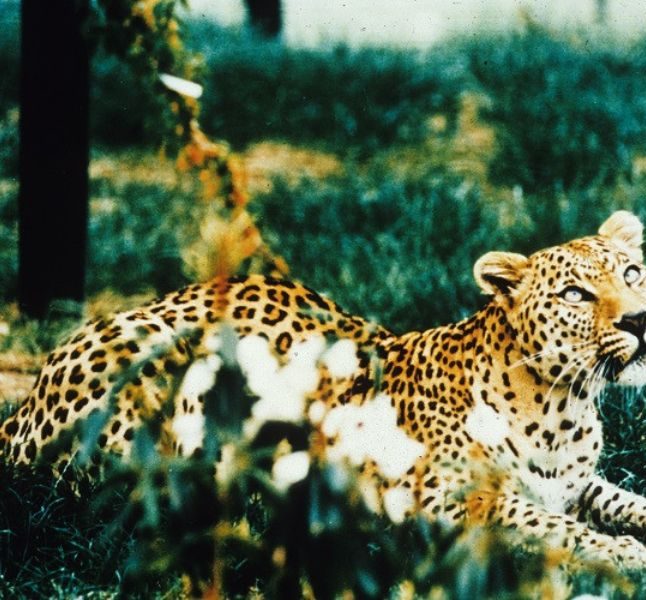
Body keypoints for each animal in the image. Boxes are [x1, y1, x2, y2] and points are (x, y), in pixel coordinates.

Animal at [1, 210, 646, 568]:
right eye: (574, 295)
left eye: (632, 272)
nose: (639, 319)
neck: (564, 407)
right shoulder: (445, 497)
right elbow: (548, 524)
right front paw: (626, 554)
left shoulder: (577, 483)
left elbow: (621, 501)